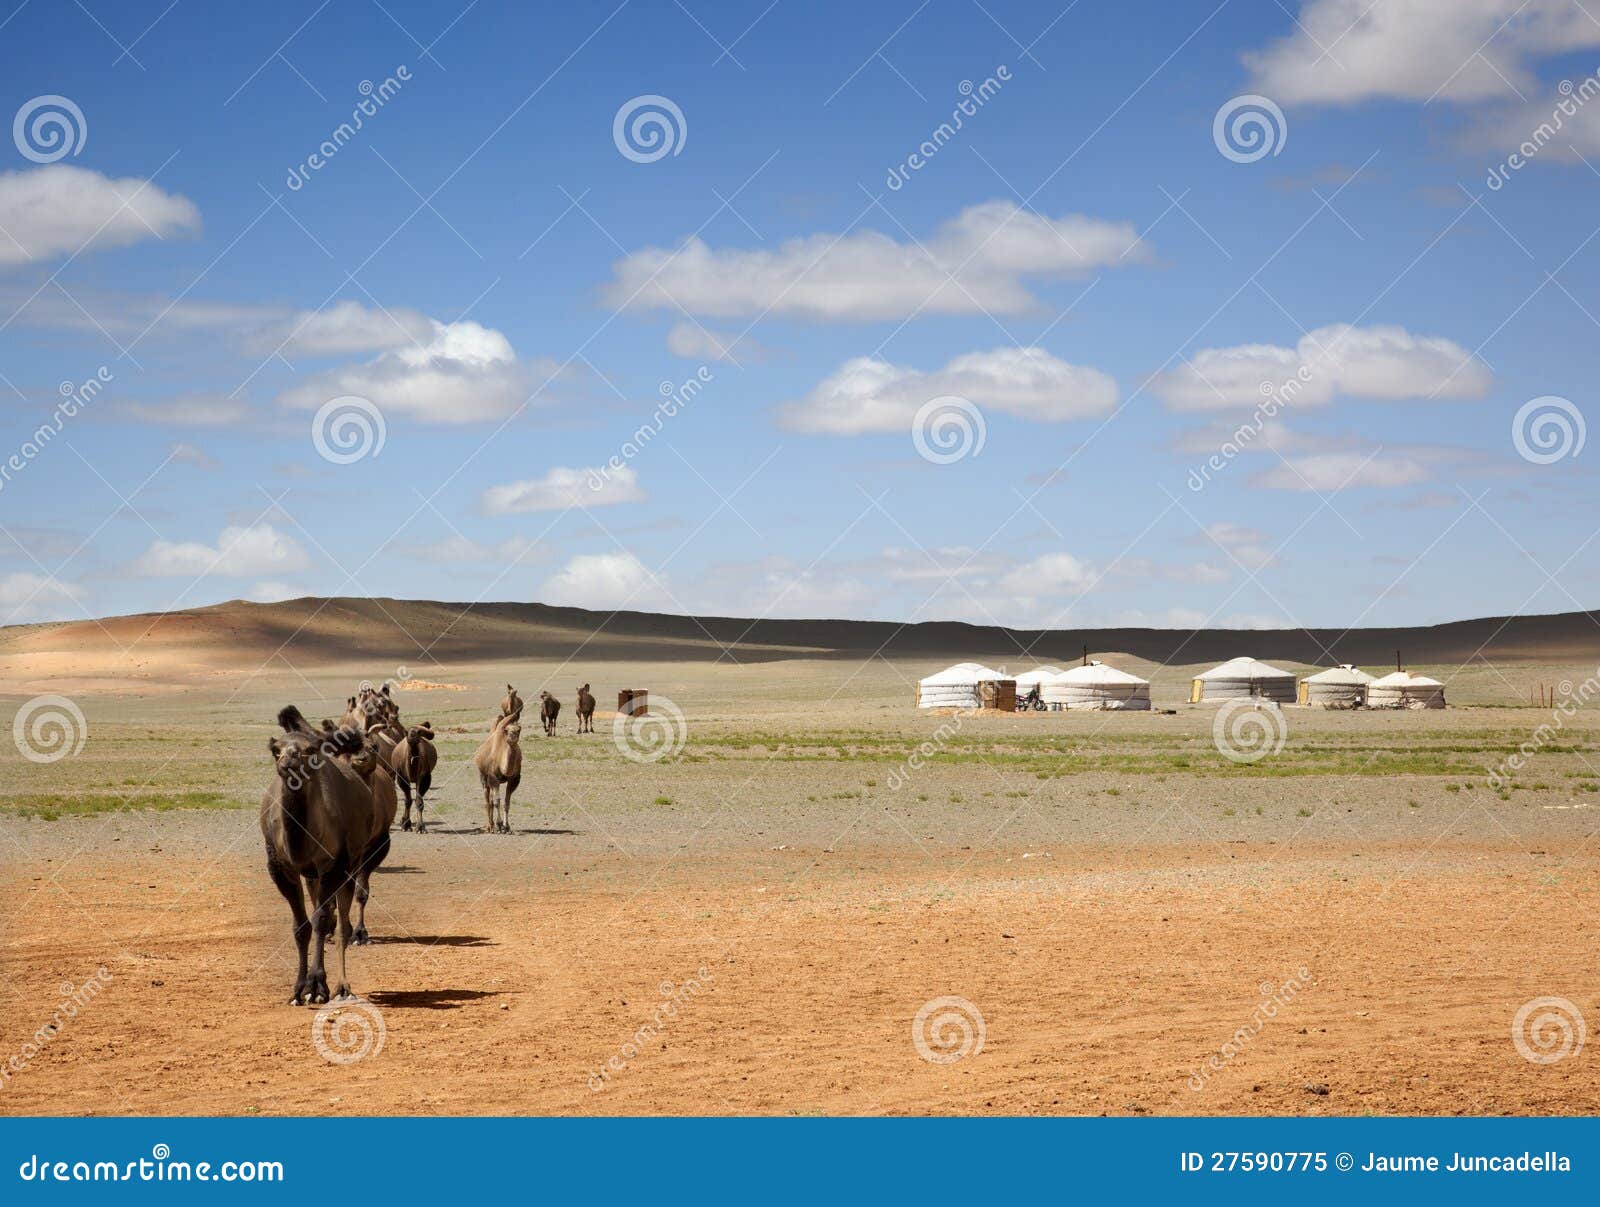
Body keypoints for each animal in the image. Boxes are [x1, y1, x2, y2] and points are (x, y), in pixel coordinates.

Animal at [261, 707, 378, 1004]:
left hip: (350, 865)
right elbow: (301, 926)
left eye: (310, 749)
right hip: (312, 875)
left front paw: (316, 987)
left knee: (342, 924)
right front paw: (297, 989)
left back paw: (343, 987)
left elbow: (322, 921)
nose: (289, 759)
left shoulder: (333, 865)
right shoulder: (281, 868)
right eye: (276, 750)